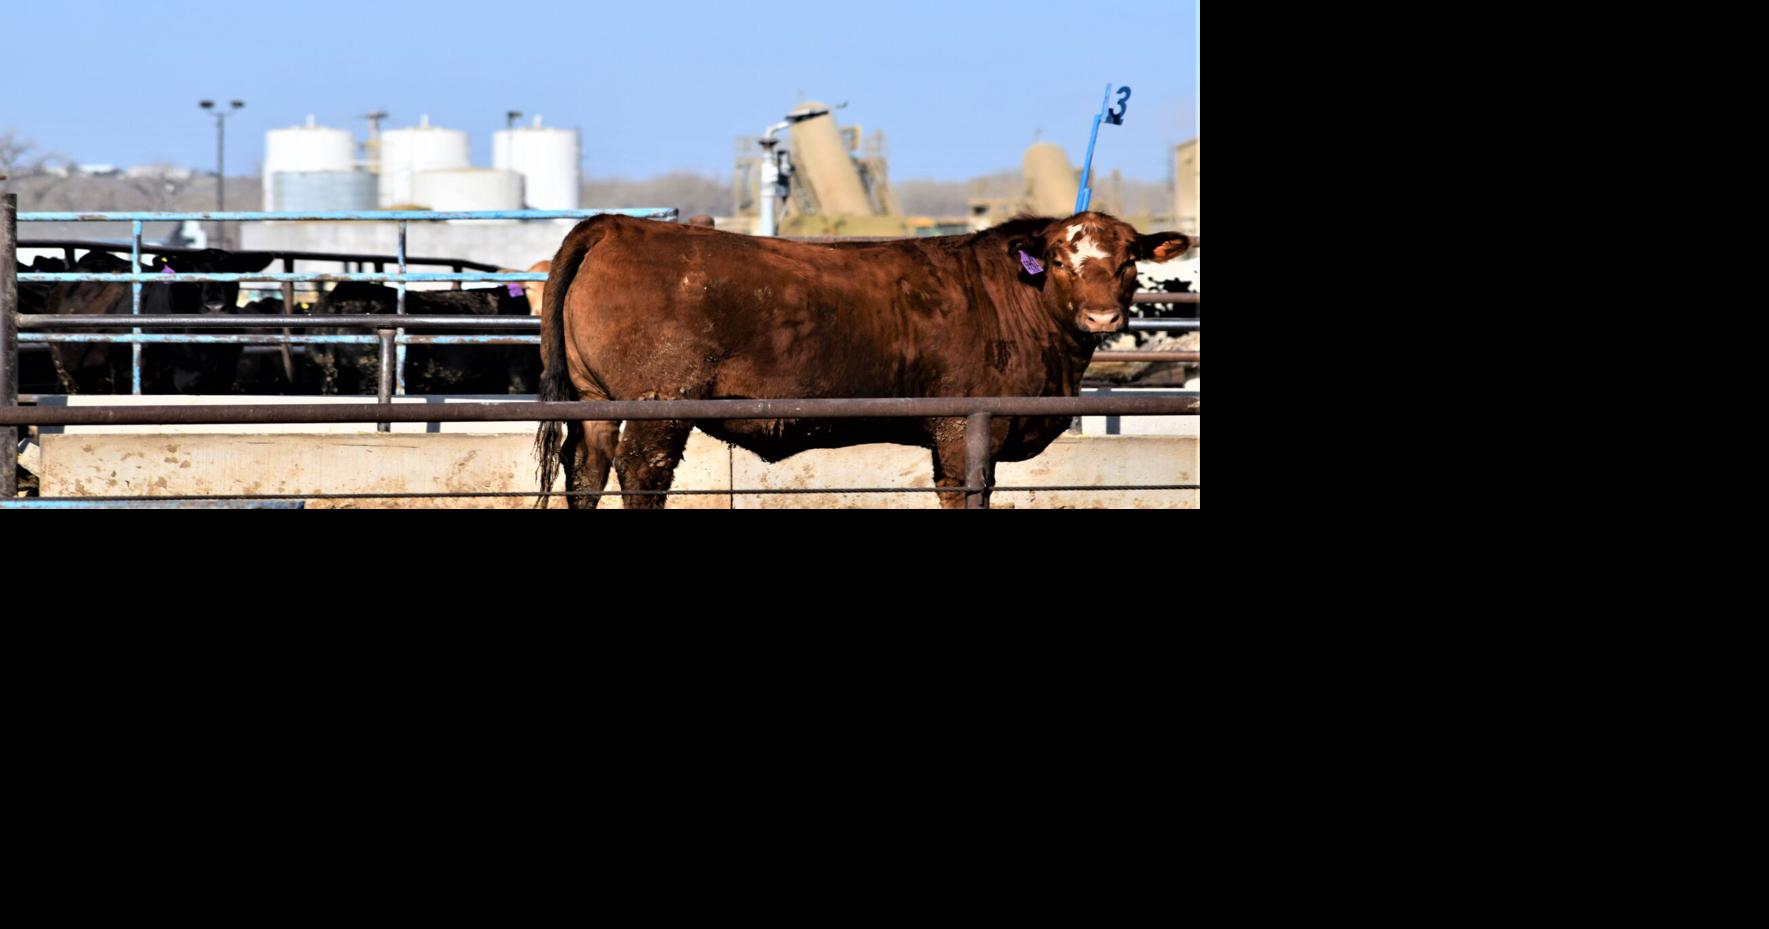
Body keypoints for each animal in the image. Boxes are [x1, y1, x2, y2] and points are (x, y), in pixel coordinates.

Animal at [533, 211, 1192, 508]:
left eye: (1130, 260)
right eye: (1057, 260)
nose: (1102, 319)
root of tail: (619, 225)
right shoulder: (966, 426)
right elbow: (966, 491)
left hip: (596, 404)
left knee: (586, 472)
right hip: (661, 405)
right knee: (641, 474)